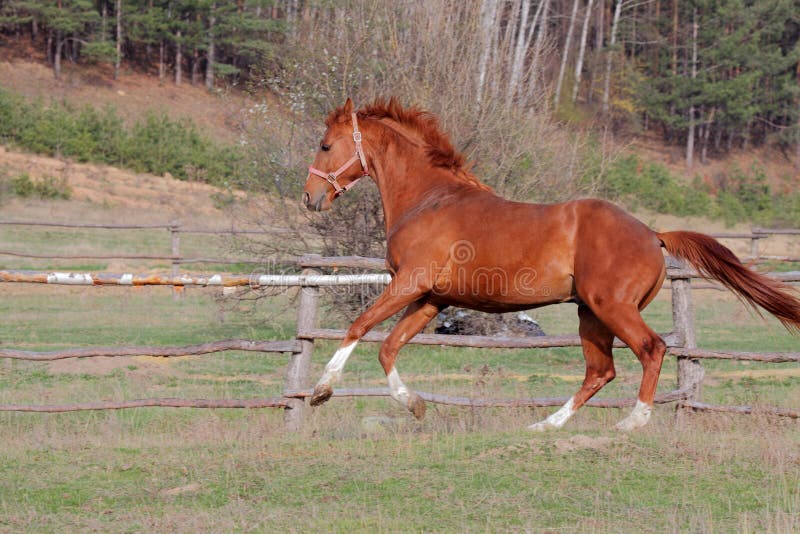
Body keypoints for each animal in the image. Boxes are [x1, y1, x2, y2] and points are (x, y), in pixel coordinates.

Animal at [302, 97, 800, 431]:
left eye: (325, 145)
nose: (310, 197)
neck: (429, 199)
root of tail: (653, 234)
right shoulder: (431, 299)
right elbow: (388, 347)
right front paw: (415, 404)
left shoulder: (410, 283)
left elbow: (359, 327)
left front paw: (321, 391)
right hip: (589, 314)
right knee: (600, 371)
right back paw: (545, 426)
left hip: (612, 308)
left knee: (651, 349)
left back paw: (632, 422)